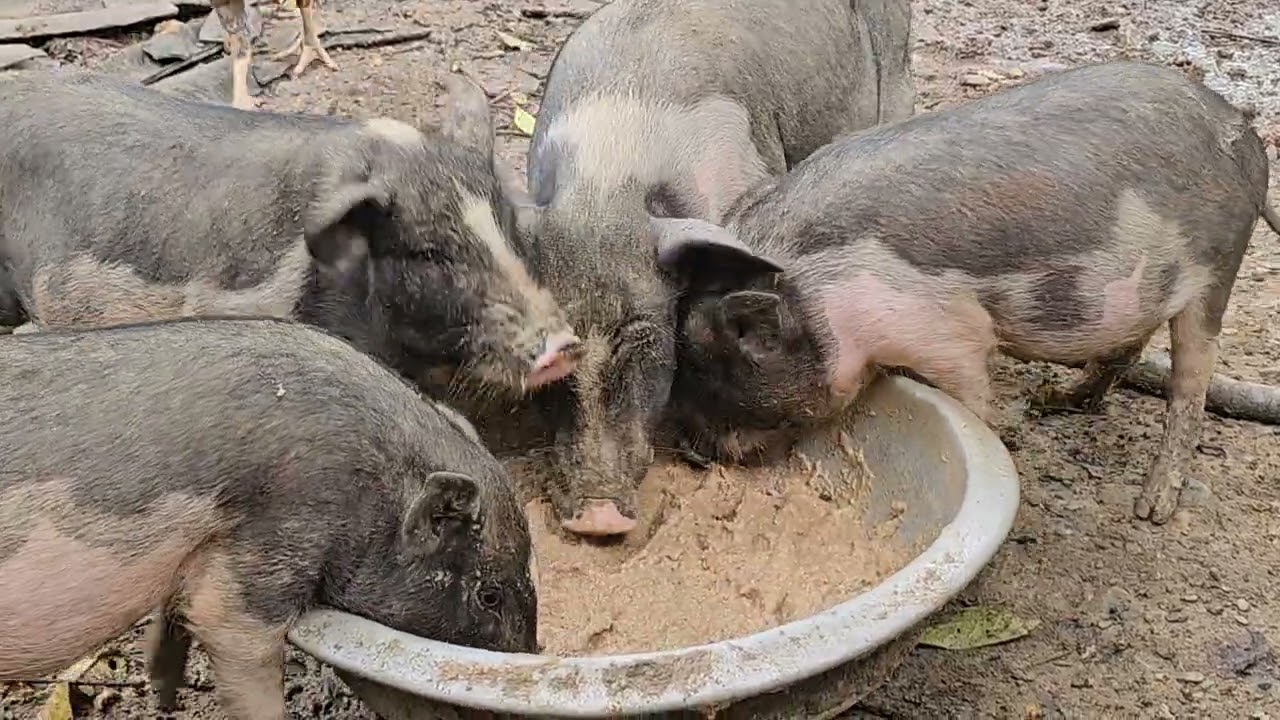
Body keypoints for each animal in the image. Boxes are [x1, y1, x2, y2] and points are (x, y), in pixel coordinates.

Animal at [0, 316, 538, 720]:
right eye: (489, 595)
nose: (532, 654)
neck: (375, 491)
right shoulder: (278, 540)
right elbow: (231, 632)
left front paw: (165, 696)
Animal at [664, 60, 1280, 524]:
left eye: (719, 373)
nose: (689, 453)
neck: (818, 293)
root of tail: (1242, 131)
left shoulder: (947, 332)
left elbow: (971, 396)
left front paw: (995, 432)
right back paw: (1058, 401)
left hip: (1219, 268)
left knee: (1191, 382)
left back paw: (1151, 509)